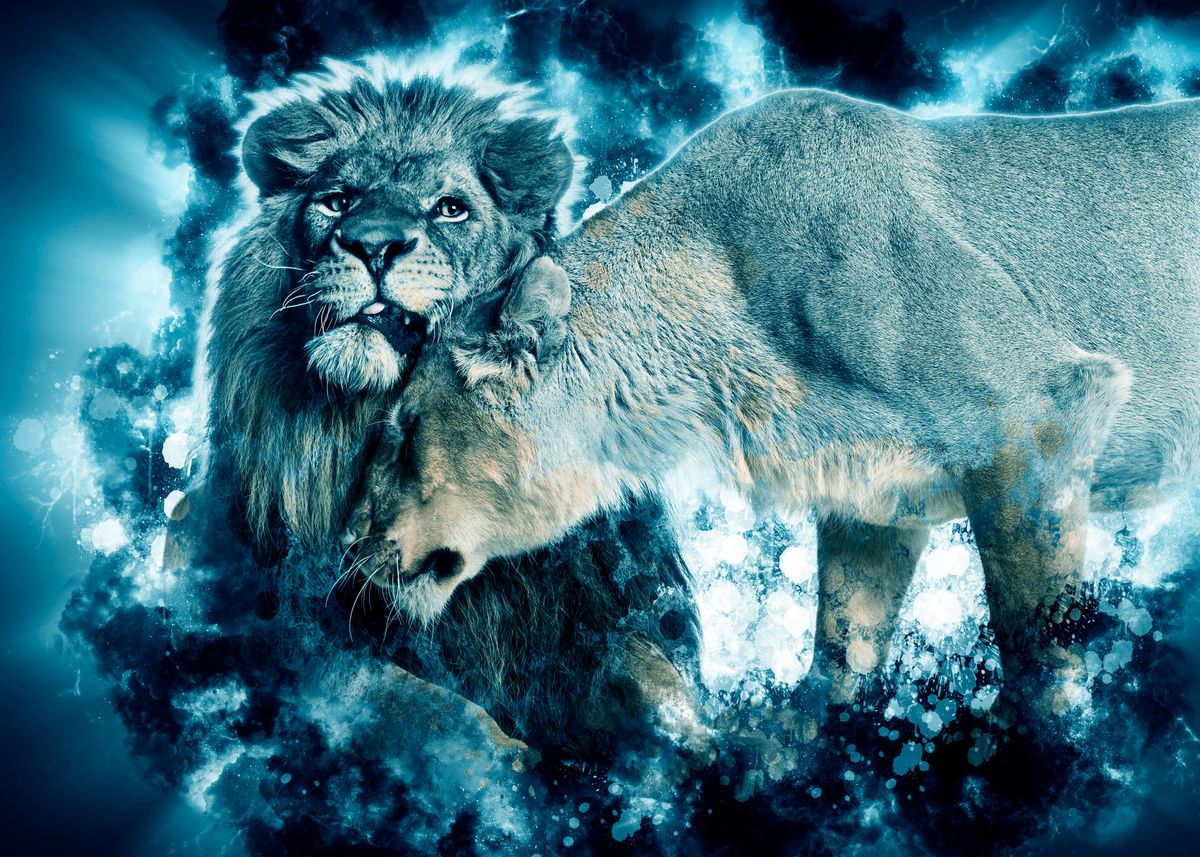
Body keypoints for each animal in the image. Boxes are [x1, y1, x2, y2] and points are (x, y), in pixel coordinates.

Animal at [348, 89, 1200, 715]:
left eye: (403, 432)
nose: (352, 539)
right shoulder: (872, 501)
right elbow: (840, 657)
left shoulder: (1040, 407)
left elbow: (1039, 652)